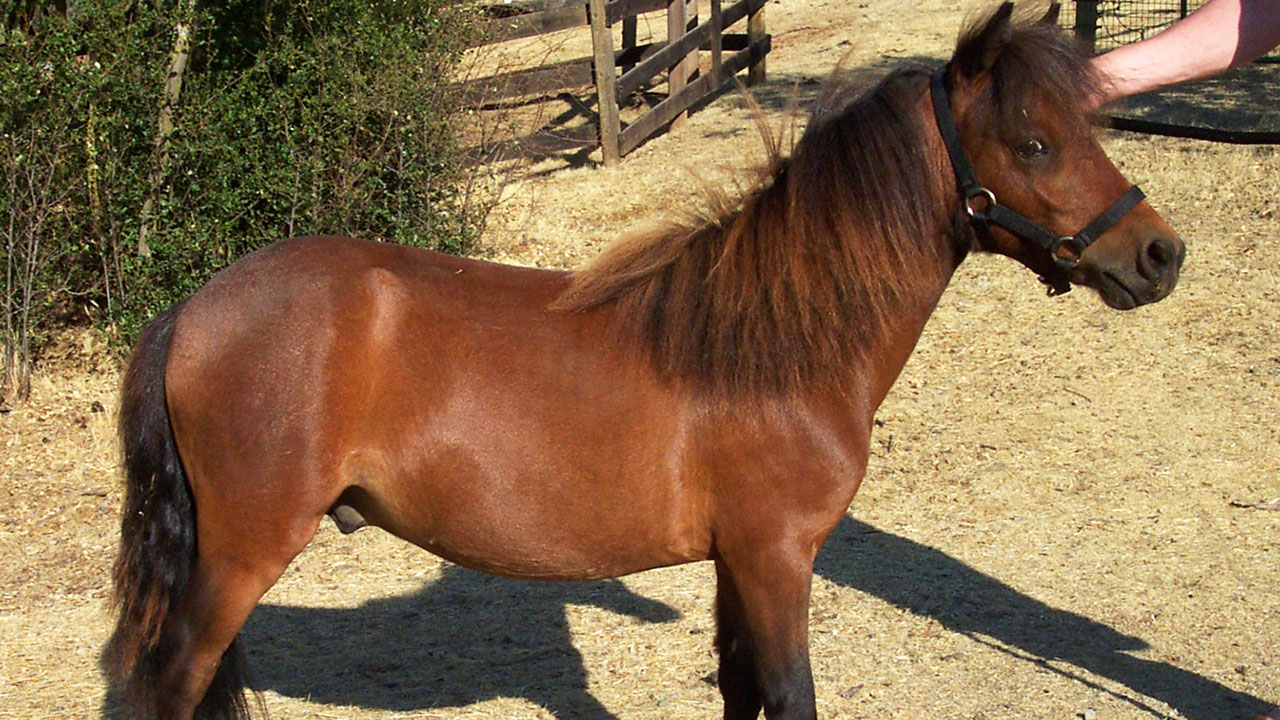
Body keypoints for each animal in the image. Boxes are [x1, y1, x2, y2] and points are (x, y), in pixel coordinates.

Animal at [104, 4, 1184, 719]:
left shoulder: (737, 565)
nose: (1158, 255)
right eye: (1033, 143)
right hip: (239, 557)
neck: (776, 341)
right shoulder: (776, 558)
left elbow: (744, 695)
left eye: (1085, 123)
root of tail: (191, 310)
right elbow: (789, 698)